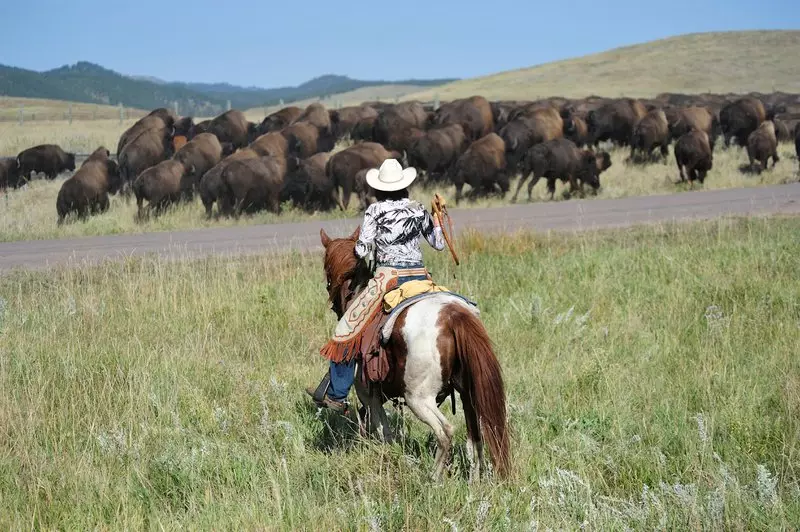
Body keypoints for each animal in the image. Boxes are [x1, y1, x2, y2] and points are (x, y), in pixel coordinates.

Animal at [318, 225, 510, 482]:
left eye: (327, 270)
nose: (334, 303)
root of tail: (451, 314)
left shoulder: (368, 394)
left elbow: (384, 431)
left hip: (418, 398)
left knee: (445, 431)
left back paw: (434, 477)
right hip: (467, 394)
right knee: (475, 436)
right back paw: (474, 479)